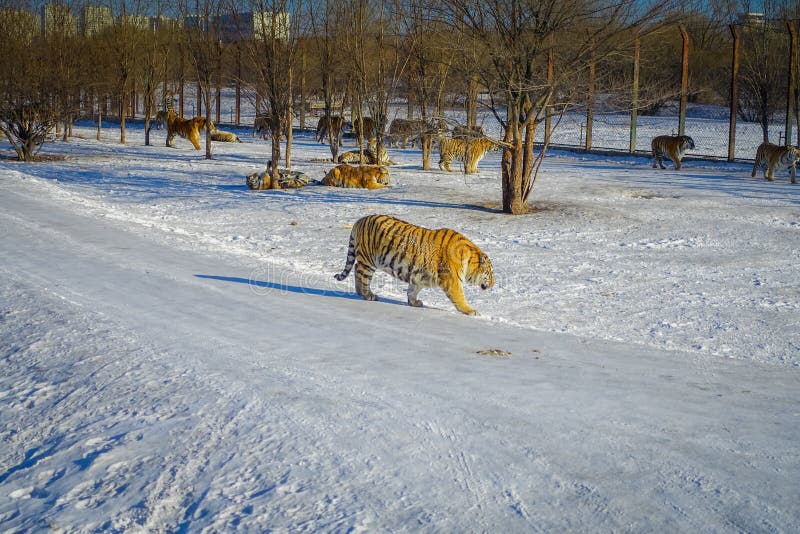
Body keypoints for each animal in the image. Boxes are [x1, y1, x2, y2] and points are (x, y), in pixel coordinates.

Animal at [334, 214, 494, 315]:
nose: (493, 285)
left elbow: (412, 290)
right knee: (359, 274)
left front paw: (414, 302)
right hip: (368, 260)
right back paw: (368, 295)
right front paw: (471, 311)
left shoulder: (419, 276)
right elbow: (460, 297)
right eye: (490, 273)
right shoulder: (452, 280)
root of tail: (360, 220)